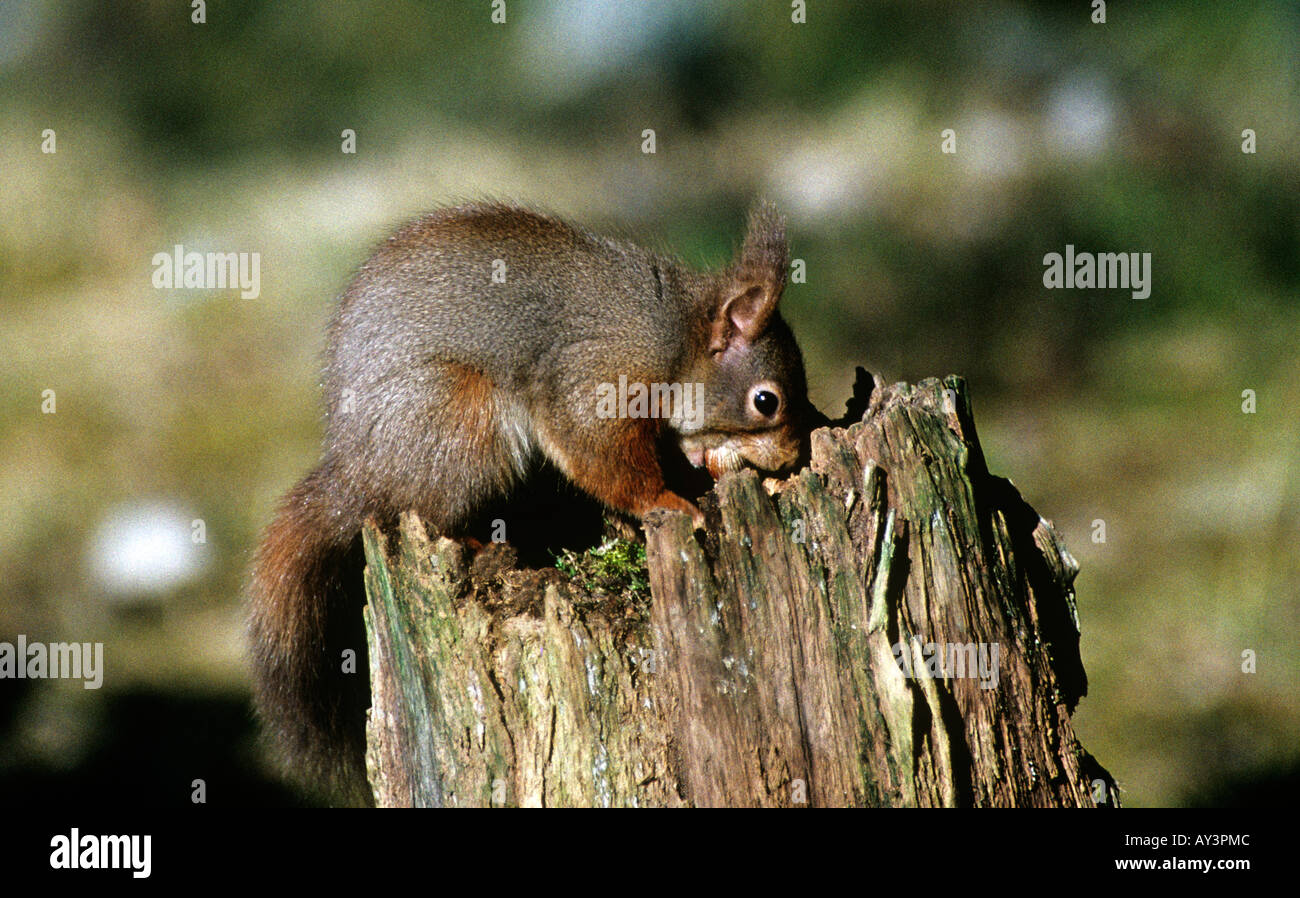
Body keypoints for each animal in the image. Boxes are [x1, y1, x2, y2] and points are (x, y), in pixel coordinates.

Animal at [247, 200, 813, 804]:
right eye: (766, 401)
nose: (791, 457)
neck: (677, 340)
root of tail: (356, 476)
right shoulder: (599, 376)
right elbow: (601, 456)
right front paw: (670, 502)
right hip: (459, 417)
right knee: (420, 509)